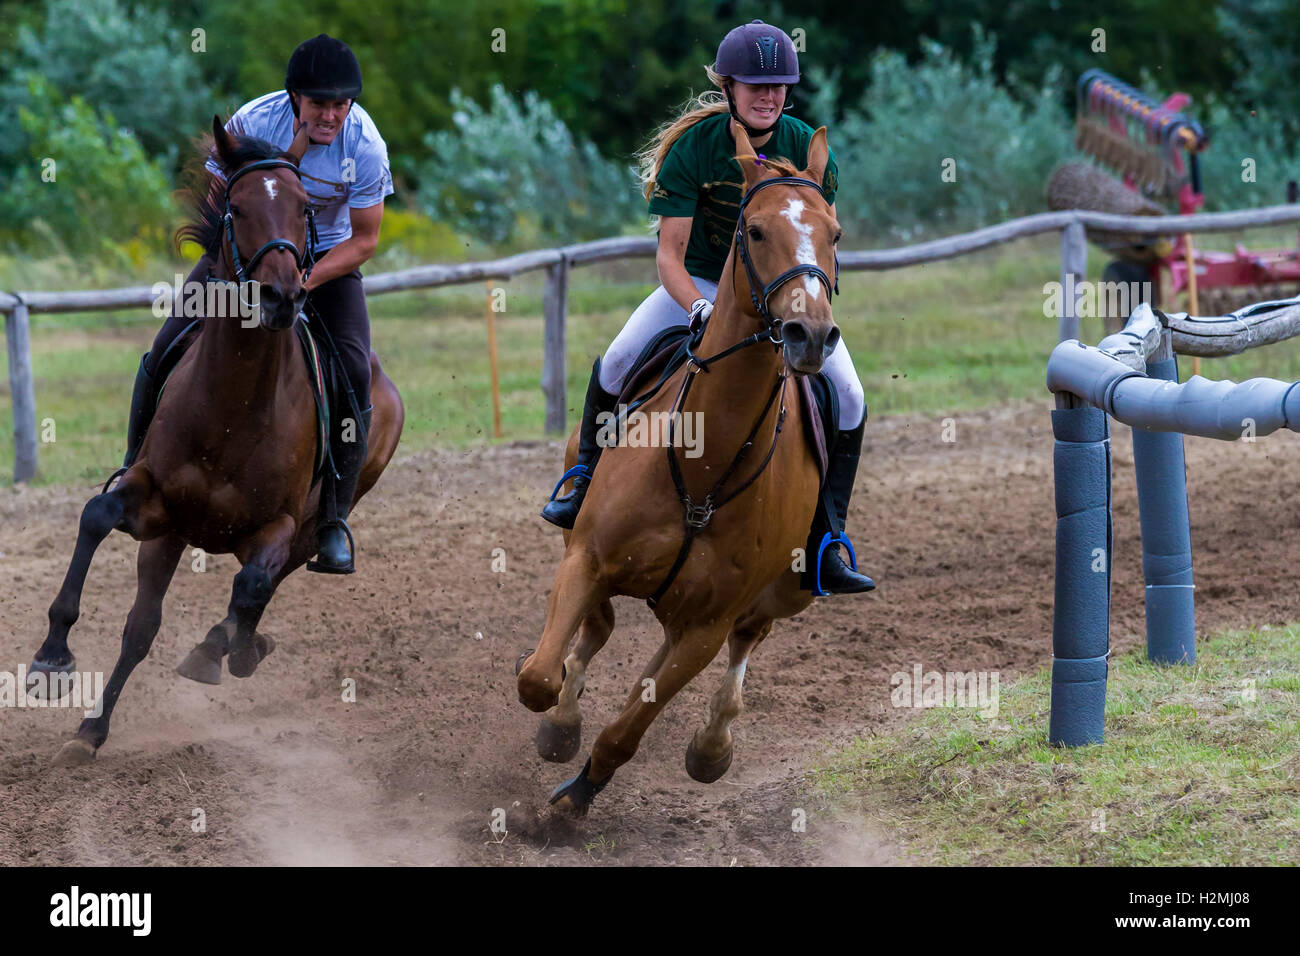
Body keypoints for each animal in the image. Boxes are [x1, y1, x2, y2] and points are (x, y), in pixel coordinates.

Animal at [29, 117, 404, 766]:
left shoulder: (276, 526)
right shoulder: (153, 505)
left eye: (306, 207)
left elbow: (252, 584)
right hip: (174, 535)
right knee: (141, 629)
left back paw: (228, 649)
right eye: (238, 205)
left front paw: (223, 648)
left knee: (267, 583)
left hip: (315, 526)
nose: (282, 297)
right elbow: (96, 518)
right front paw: (52, 659)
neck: (233, 406)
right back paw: (93, 729)